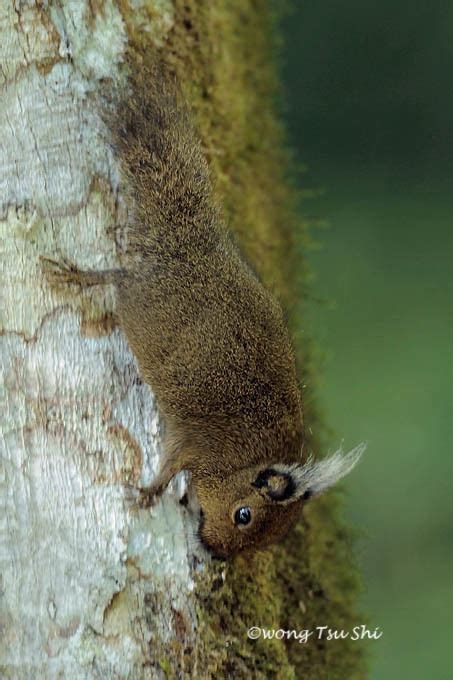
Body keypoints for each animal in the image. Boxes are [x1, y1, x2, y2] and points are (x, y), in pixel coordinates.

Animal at [41, 57, 364, 559]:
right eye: (243, 515)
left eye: (269, 539)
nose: (215, 552)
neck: (245, 459)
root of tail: (190, 245)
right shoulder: (196, 443)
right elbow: (171, 468)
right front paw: (149, 493)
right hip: (142, 299)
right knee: (119, 278)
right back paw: (76, 276)